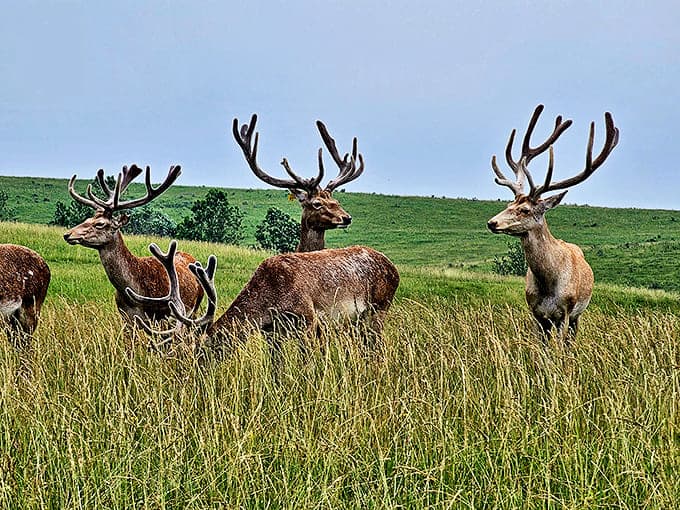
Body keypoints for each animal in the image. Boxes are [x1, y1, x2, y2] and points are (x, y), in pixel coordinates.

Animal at [63, 164, 204, 331]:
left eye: (100, 224)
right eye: (87, 218)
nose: (67, 234)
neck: (136, 291)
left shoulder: (164, 316)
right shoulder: (126, 318)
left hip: (193, 308)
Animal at [125, 239, 400, 359]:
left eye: (203, 350)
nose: (198, 371)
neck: (271, 299)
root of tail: (393, 269)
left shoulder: (309, 319)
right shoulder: (271, 331)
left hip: (380, 307)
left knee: (378, 345)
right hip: (358, 321)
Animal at [486, 104, 619, 343]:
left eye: (525, 210)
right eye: (509, 203)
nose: (492, 222)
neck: (548, 286)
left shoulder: (565, 312)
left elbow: (559, 347)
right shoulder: (536, 313)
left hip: (578, 314)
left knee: (571, 340)